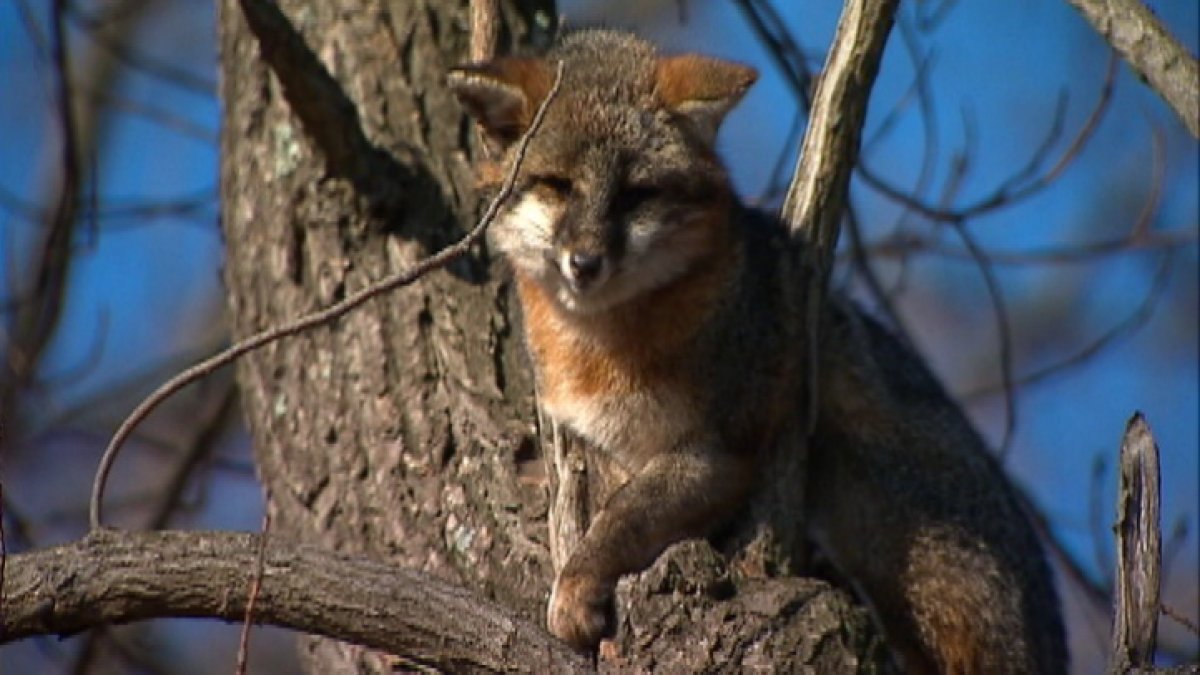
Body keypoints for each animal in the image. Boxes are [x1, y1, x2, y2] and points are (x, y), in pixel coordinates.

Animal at [448, 29, 1067, 674]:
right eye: (557, 185)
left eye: (635, 195)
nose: (585, 263)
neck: (603, 351)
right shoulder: (599, 441)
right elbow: (608, 499)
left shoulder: (720, 449)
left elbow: (624, 514)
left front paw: (576, 584)